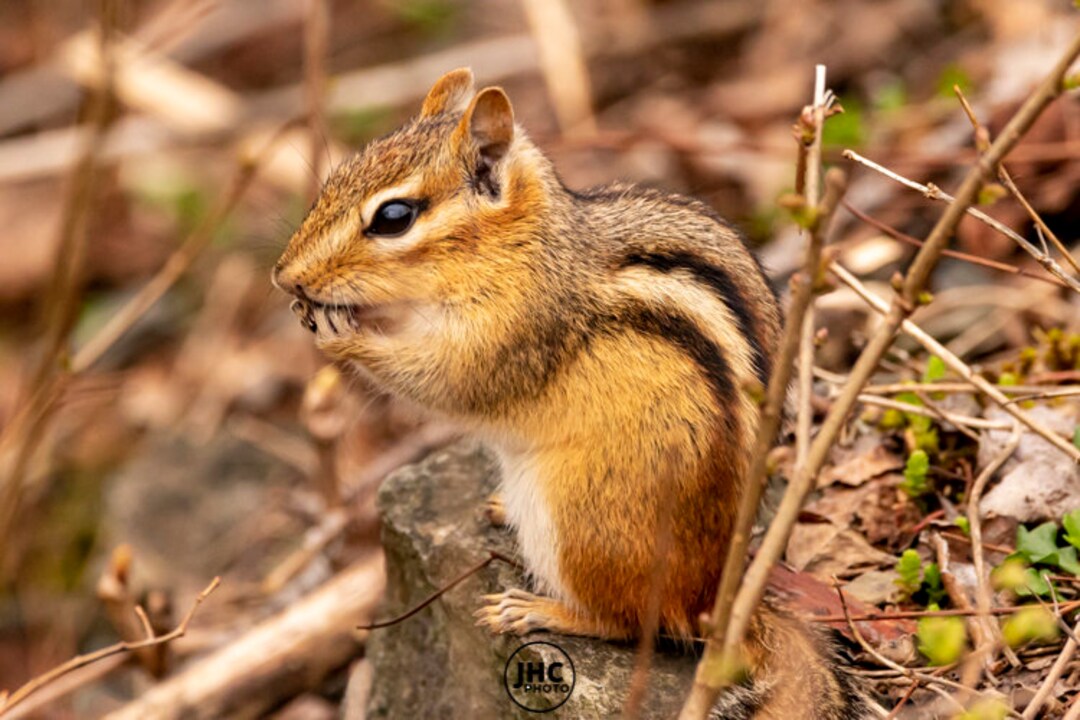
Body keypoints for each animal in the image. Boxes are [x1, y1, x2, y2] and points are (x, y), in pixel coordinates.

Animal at [274, 68, 870, 719]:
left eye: (394, 217)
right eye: (332, 181)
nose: (284, 276)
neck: (521, 246)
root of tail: (714, 597)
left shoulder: (511, 333)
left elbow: (443, 378)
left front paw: (343, 333)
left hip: (576, 518)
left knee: (632, 624)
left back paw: (539, 609)